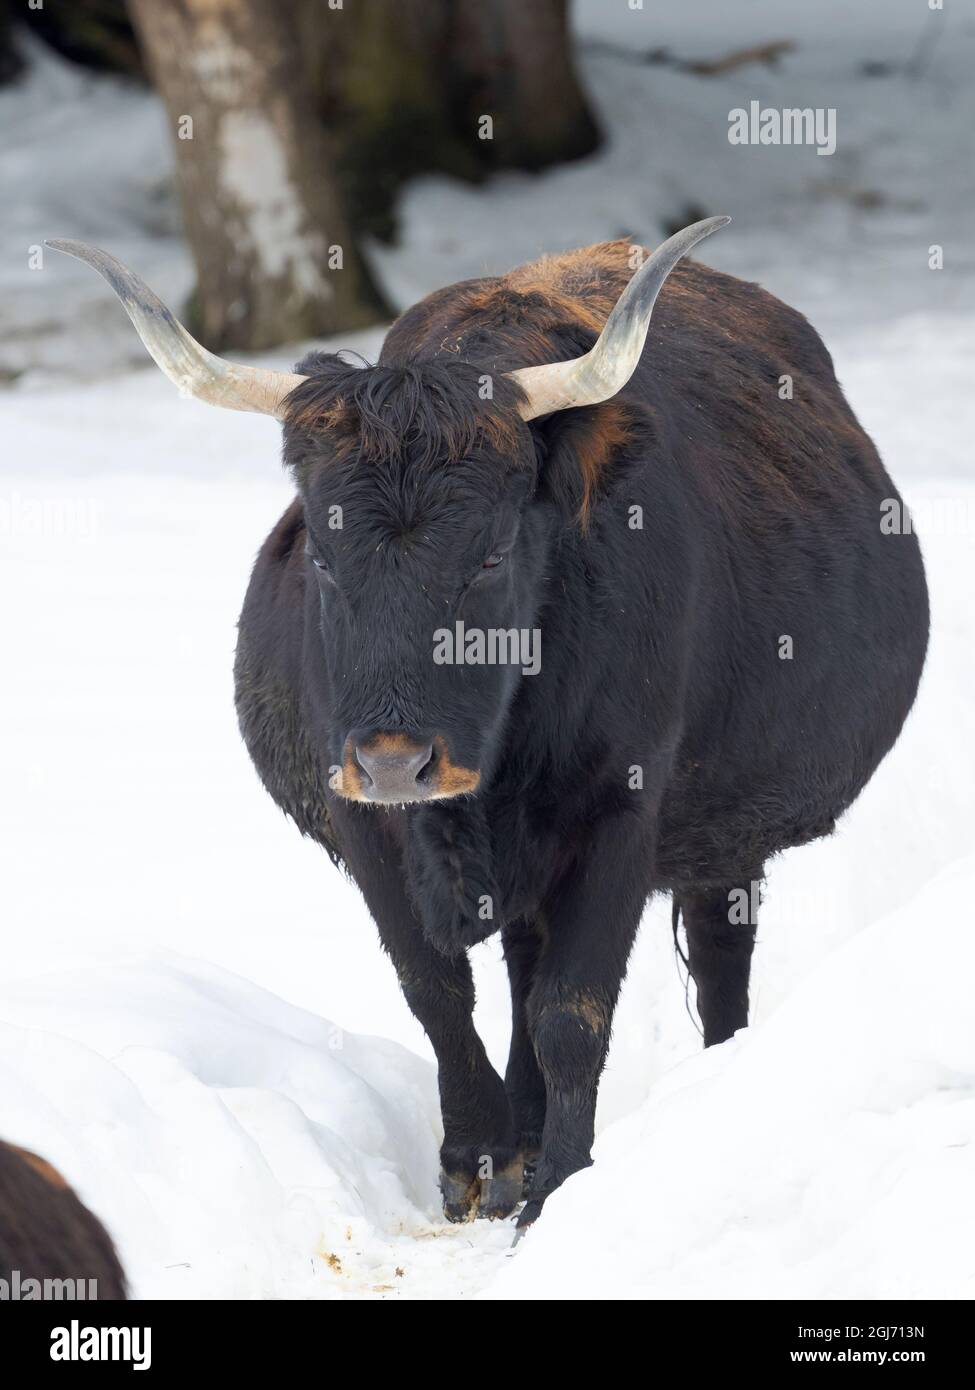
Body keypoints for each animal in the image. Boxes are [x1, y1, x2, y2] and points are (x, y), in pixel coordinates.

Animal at [49, 220, 928, 1227]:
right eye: (323, 550)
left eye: (493, 555)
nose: (396, 760)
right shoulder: (361, 819)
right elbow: (436, 991)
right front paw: (476, 1161)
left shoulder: (620, 815)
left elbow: (571, 1015)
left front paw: (562, 1189)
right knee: (520, 961)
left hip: (728, 834)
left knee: (715, 958)